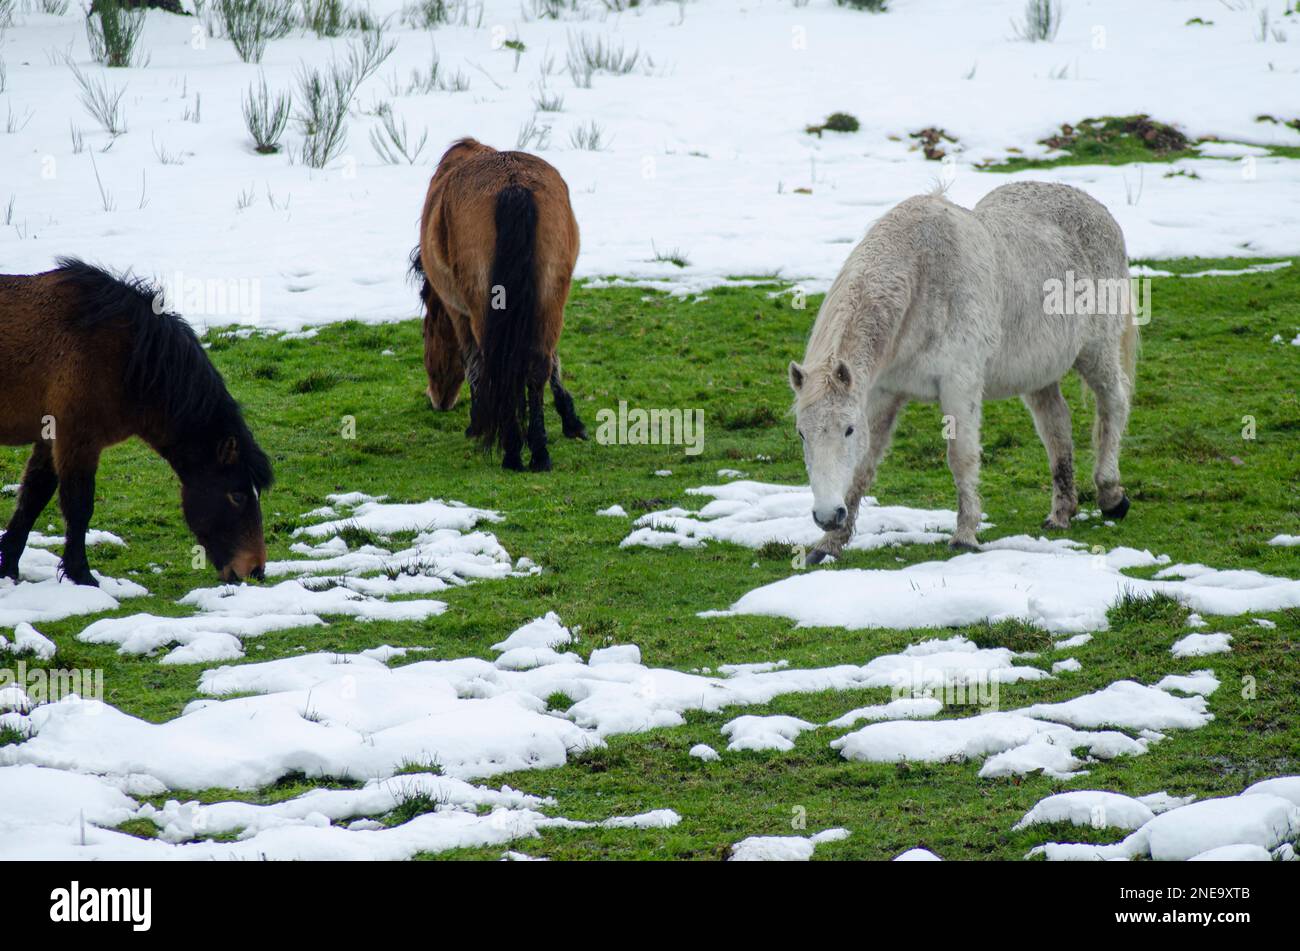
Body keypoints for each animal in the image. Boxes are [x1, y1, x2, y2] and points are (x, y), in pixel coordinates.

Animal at [0, 259, 273, 586]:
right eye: (237, 495)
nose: (255, 569)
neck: (123, 356)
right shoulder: (77, 440)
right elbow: (79, 506)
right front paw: (83, 576)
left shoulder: (50, 438)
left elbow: (33, 497)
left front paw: (8, 566)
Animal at [410, 137, 586, 472]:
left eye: (426, 334)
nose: (438, 399)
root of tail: (513, 186)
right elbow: (550, 361)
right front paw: (571, 421)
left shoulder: (459, 313)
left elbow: (473, 363)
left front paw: (476, 423)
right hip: (551, 296)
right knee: (537, 364)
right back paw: (539, 452)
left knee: (496, 362)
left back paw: (512, 451)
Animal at [789, 181, 1138, 564]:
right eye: (802, 434)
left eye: (848, 430)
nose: (827, 515)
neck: (922, 283)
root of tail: (1100, 211)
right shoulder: (883, 393)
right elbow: (864, 467)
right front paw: (829, 544)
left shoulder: (959, 385)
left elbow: (962, 457)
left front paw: (965, 535)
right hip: (1039, 373)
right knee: (1057, 426)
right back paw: (1062, 513)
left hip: (1096, 350)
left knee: (1114, 402)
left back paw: (1111, 495)